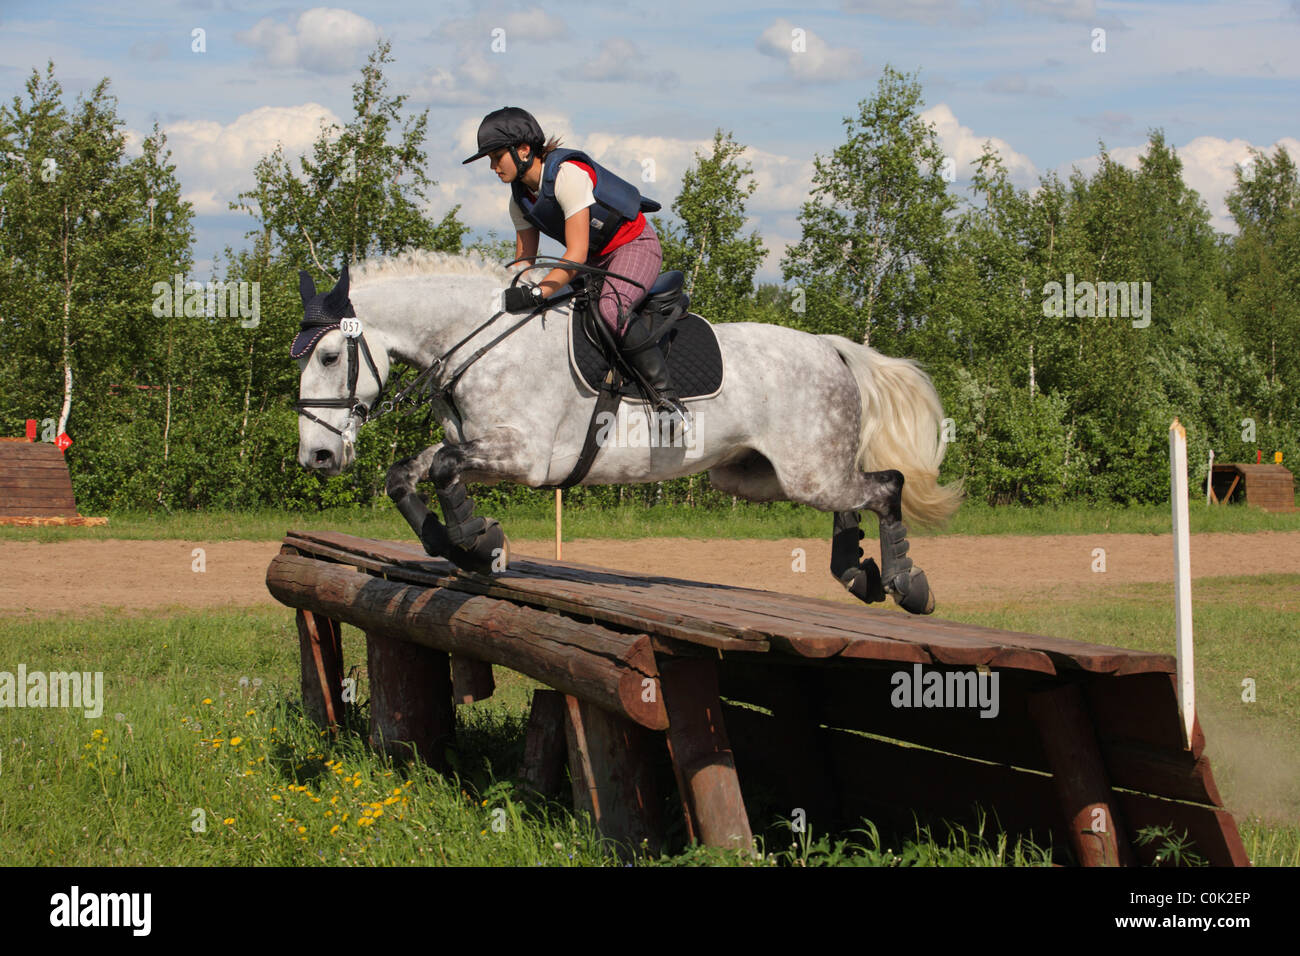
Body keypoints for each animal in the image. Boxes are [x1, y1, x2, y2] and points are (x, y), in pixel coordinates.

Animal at [292, 250, 963, 615]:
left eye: (328, 355)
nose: (316, 456)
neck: (476, 341)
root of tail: (831, 347)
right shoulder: (479, 441)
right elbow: (407, 473)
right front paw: (450, 541)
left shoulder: (525, 455)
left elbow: (441, 468)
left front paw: (478, 542)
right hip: (761, 475)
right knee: (853, 494)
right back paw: (856, 571)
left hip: (805, 471)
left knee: (886, 486)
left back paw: (906, 585)